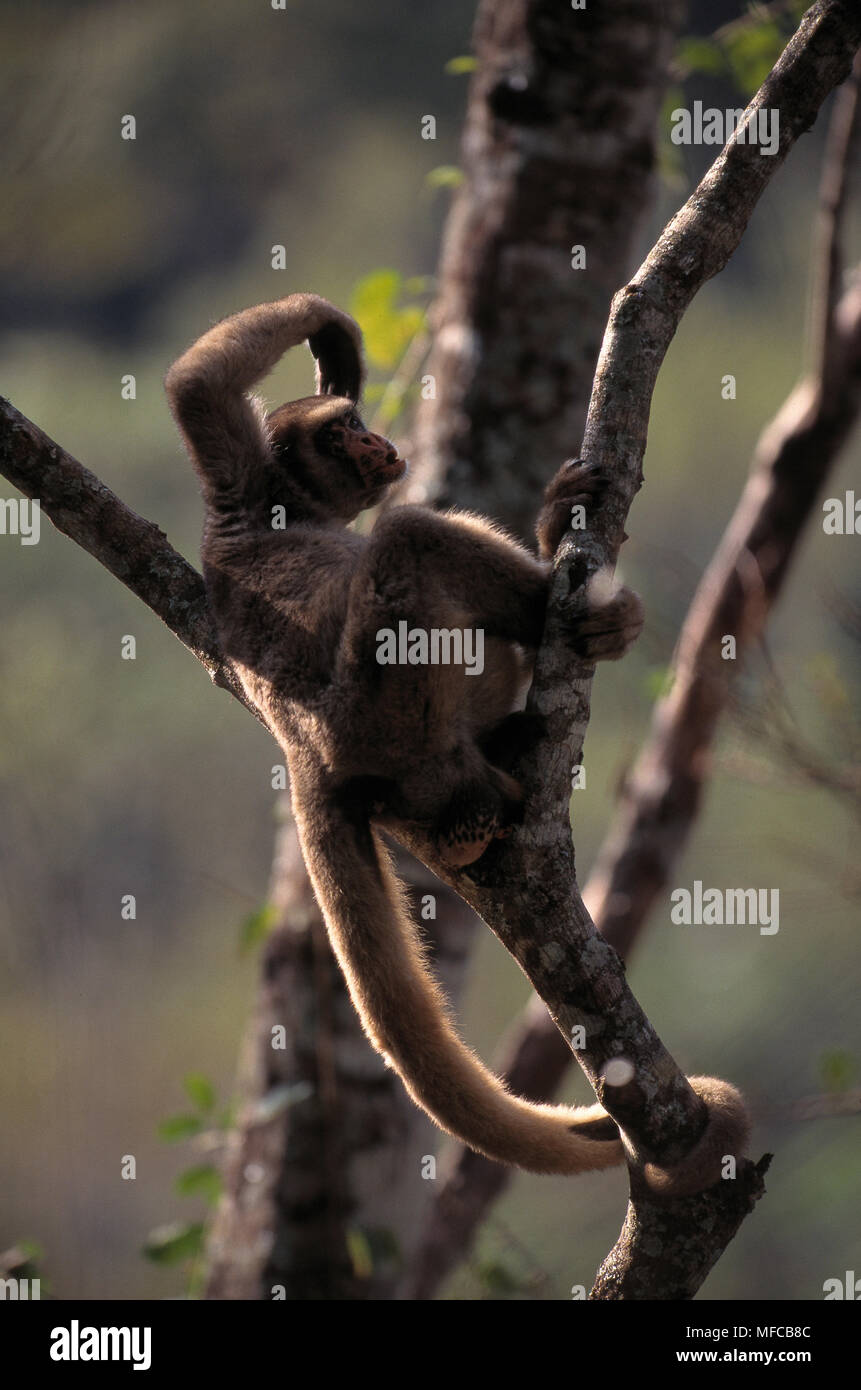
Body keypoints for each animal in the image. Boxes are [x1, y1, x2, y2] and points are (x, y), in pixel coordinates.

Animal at [165, 293, 750, 1188]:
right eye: (341, 432)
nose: (375, 442)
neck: (292, 505)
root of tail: (316, 759)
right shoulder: (242, 484)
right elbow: (199, 391)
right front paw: (327, 327)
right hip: (388, 702)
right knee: (412, 536)